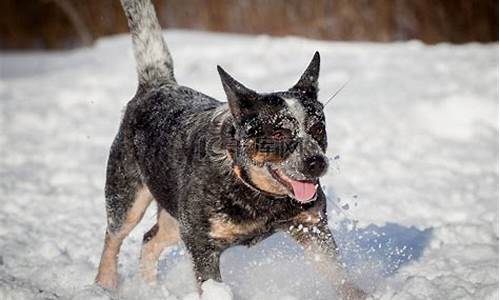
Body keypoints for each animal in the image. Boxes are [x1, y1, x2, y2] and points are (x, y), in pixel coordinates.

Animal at [94, 0, 366, 298]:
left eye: (318, 129)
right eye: (279, 133)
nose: (316, 162)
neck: (257, 193)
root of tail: (159, 85)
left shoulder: (312, 225)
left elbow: (340, 275)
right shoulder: (201, 241)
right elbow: (211, 284)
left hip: (174, 216)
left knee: (149, 240)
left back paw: (152, 289)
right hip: (128, 196)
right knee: (113, 237)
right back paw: (104, 285)